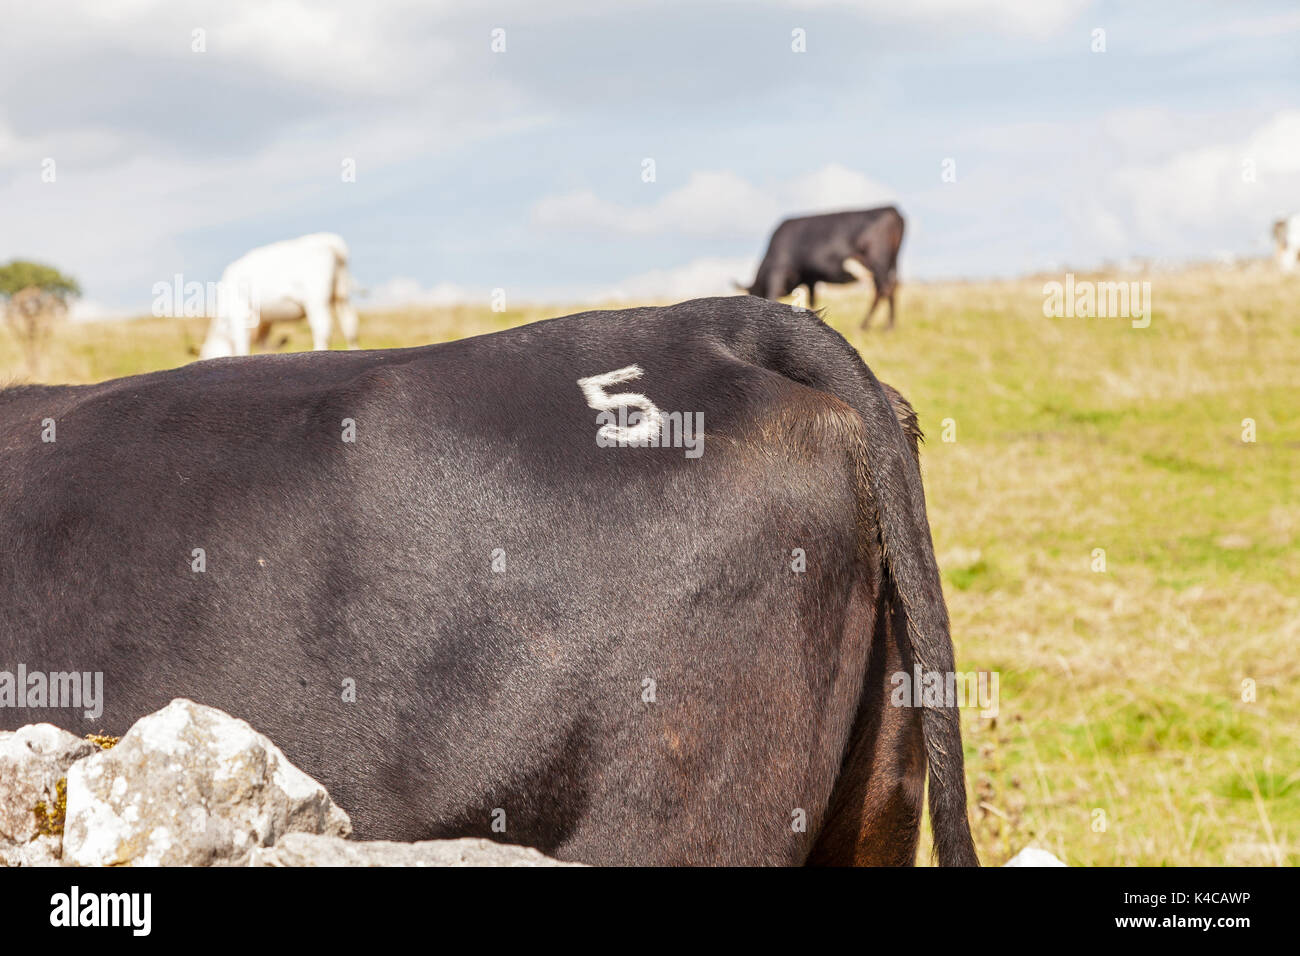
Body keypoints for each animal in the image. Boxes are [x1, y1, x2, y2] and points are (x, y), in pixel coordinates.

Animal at [198, 232, 360, 360]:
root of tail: (331, 243)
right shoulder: (264, 321)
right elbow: (263, 343)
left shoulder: (239, 313)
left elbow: (241, 344)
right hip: (342, 296)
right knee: (350, 325)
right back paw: (354, 350)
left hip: (316, 299)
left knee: (322, 327)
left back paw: (318, 351)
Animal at [740, 207, 906, 330]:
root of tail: (892, 210)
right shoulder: (810, 278)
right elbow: (813, 300)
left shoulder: (779, 271)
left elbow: (774, 294)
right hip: (891, 263)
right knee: (892, 286)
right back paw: (888, 326)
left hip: (877, 261)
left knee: (883, 289)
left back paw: (868, 326)